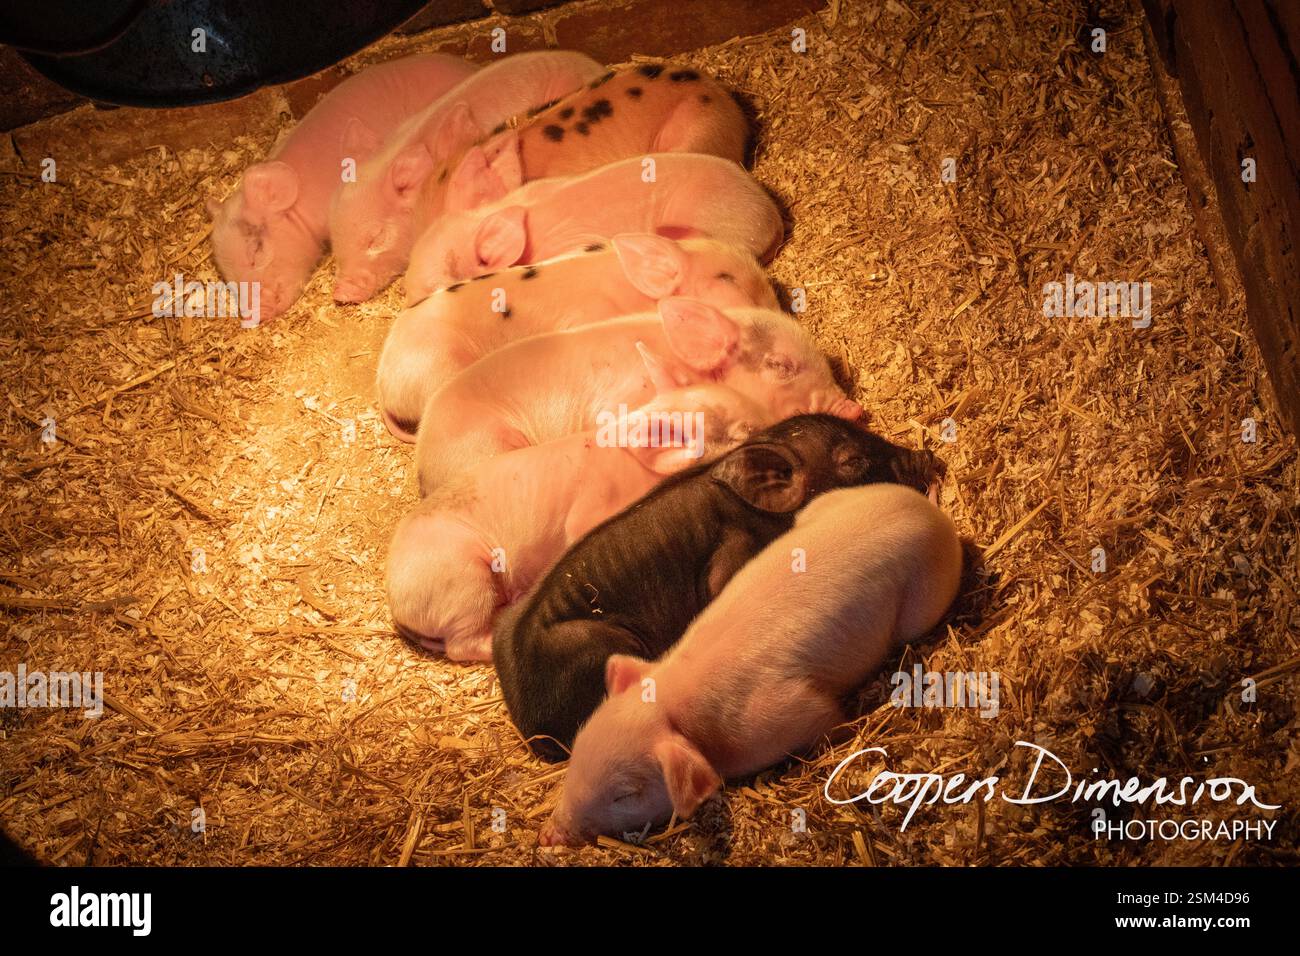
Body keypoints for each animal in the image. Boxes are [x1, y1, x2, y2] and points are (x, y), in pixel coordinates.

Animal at [387, 384, 768, 661]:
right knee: (462, 645)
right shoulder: (589, 506)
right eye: (740, 428)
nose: (766, 417)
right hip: (466, 583)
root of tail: (396, 600)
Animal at [538, 482, 963, 845]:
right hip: (822, 505)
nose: (549, 835)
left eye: (625, 795)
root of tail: (926, 510)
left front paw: (844, 730)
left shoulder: (782, 712)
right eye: (578, 750)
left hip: (925, 599)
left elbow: (825, 716)